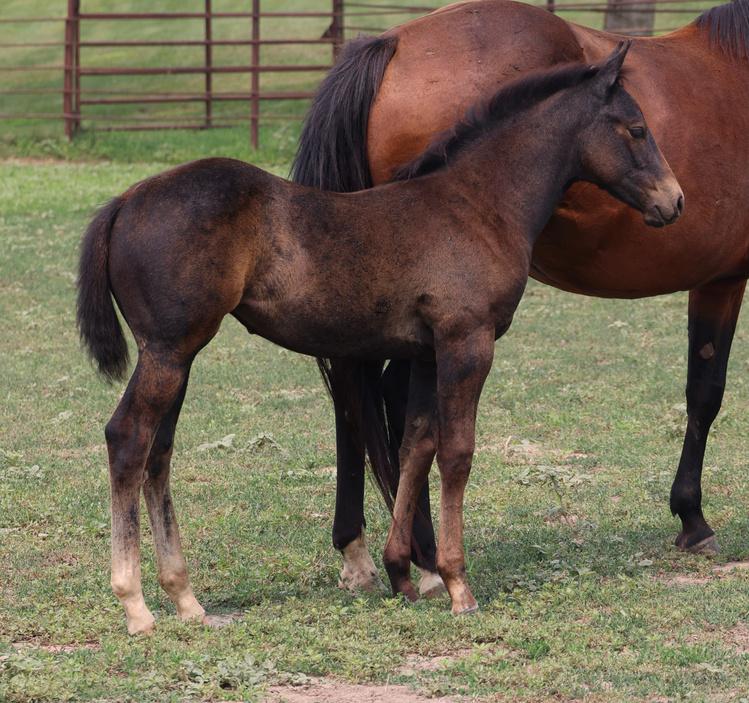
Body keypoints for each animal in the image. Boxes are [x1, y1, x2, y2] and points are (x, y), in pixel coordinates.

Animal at [77, 44, 681, 631]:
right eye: (635, 128)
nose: (673, 202)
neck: (479, 204)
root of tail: (125, 201)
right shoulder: (467, 342)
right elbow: (456, 453)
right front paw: (458, 585)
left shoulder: (427, 353)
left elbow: (416, 445)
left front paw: (404, 575)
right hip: (168, 351)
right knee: (128, 438)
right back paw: (136, 606)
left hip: (178, 354)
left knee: (159, 453)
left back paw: (186, 601)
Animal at [292, 0, 749, 596]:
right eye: (637, 129)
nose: (675, 201)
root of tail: (390, 43)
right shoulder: (725, 279)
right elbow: (706, 393)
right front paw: (693, 519)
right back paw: (424, 556)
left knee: (360, 398)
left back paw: (365, 551)